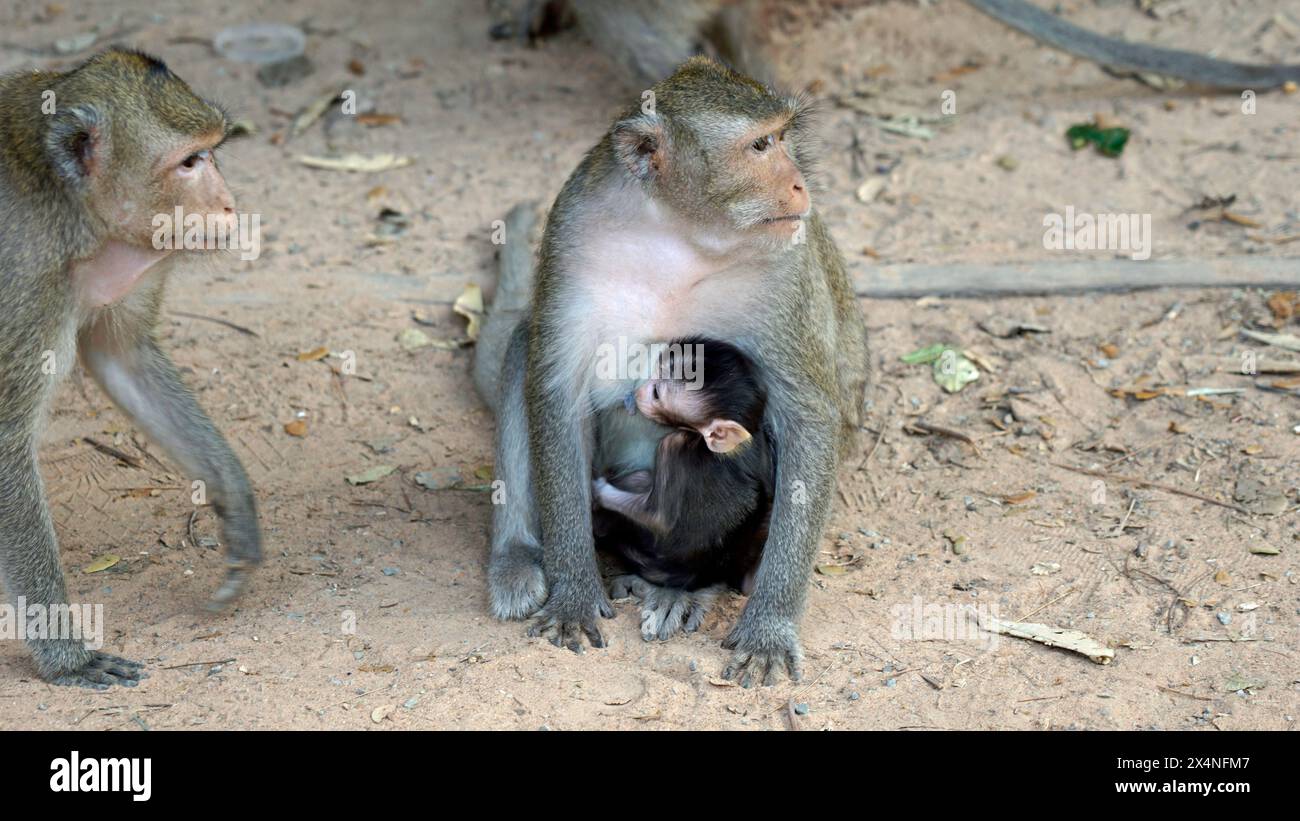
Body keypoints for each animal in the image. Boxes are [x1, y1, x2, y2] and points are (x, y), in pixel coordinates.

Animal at [0, 48, 261, 688]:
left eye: (212, 151)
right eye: (189, 162)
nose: (227, 205)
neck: (67, 204)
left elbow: (122, 354)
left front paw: (235, 503)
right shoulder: (24, 282)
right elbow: (4, 438)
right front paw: (67, 657)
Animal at [474, 56, 869, 687]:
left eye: (783, 138)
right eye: (761, 145)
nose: (799, 184)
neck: (677, 235)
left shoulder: (785, 268)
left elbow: (808, 417)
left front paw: (770, 626)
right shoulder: (571, 233)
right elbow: (555, 391)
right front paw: (573, 594)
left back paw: (685, 587)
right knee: (520, 349)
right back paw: (518, 557)